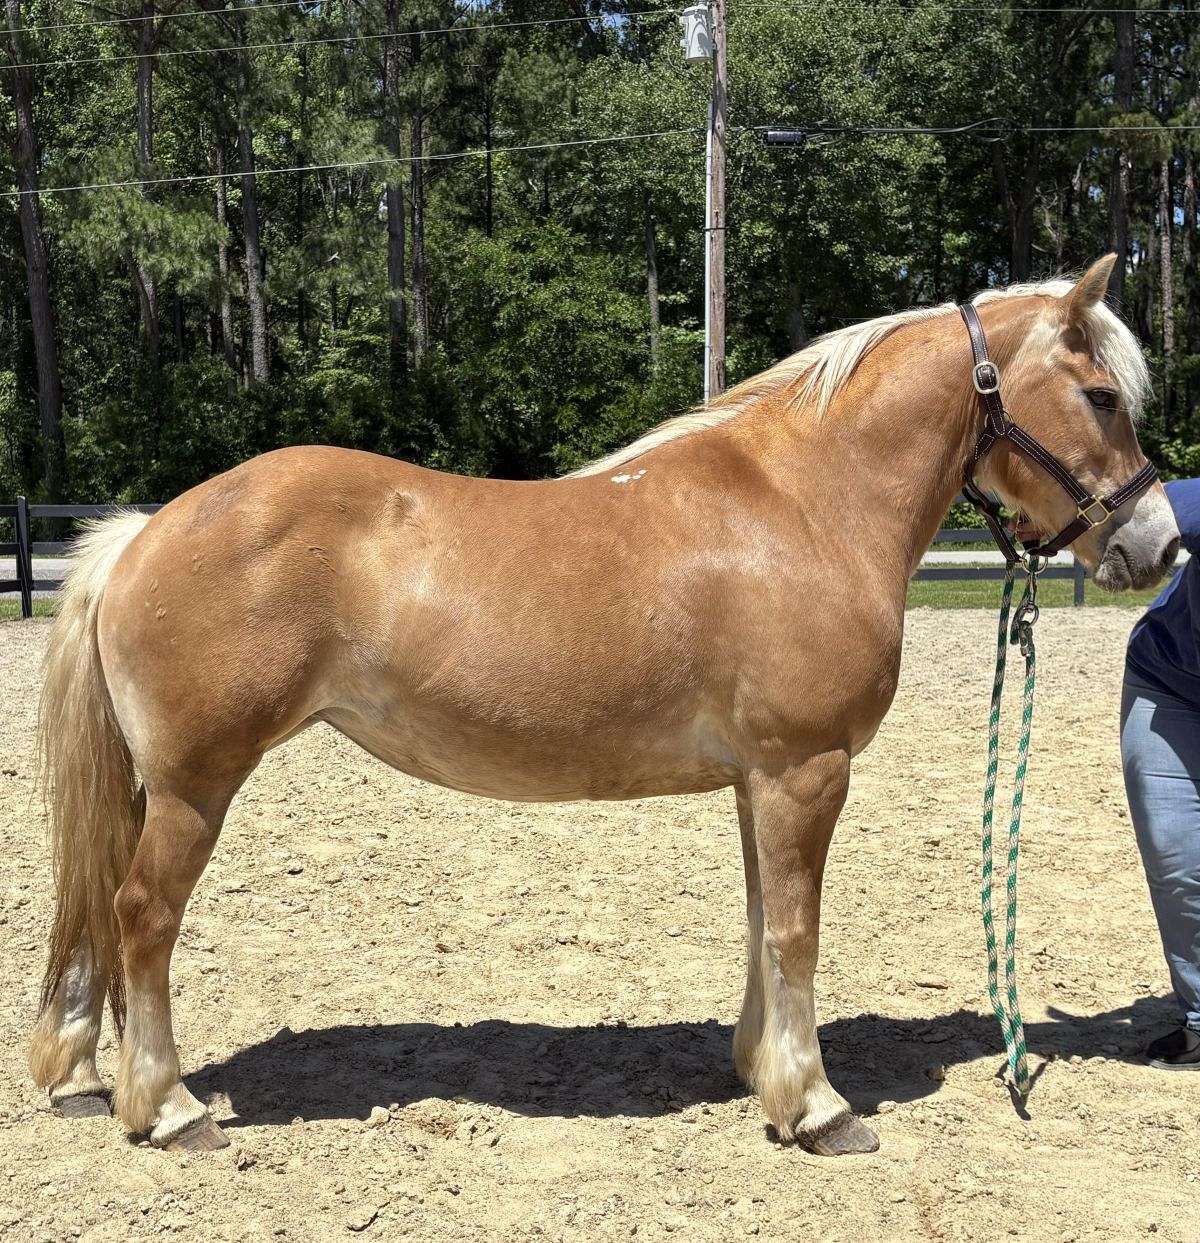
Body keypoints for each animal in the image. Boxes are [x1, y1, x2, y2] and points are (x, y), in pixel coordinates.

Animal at [28, 254, 1179, 1156]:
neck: (804, 503)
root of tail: (143, 531)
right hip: (195, 787)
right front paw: (816, 1105)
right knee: (143, 917)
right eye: (1102, 396)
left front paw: (758, 1070)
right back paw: (169, 1107)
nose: (1158, 545)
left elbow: (760, 919)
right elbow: (797, 929)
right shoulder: (805, 769)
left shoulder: (761, 779)